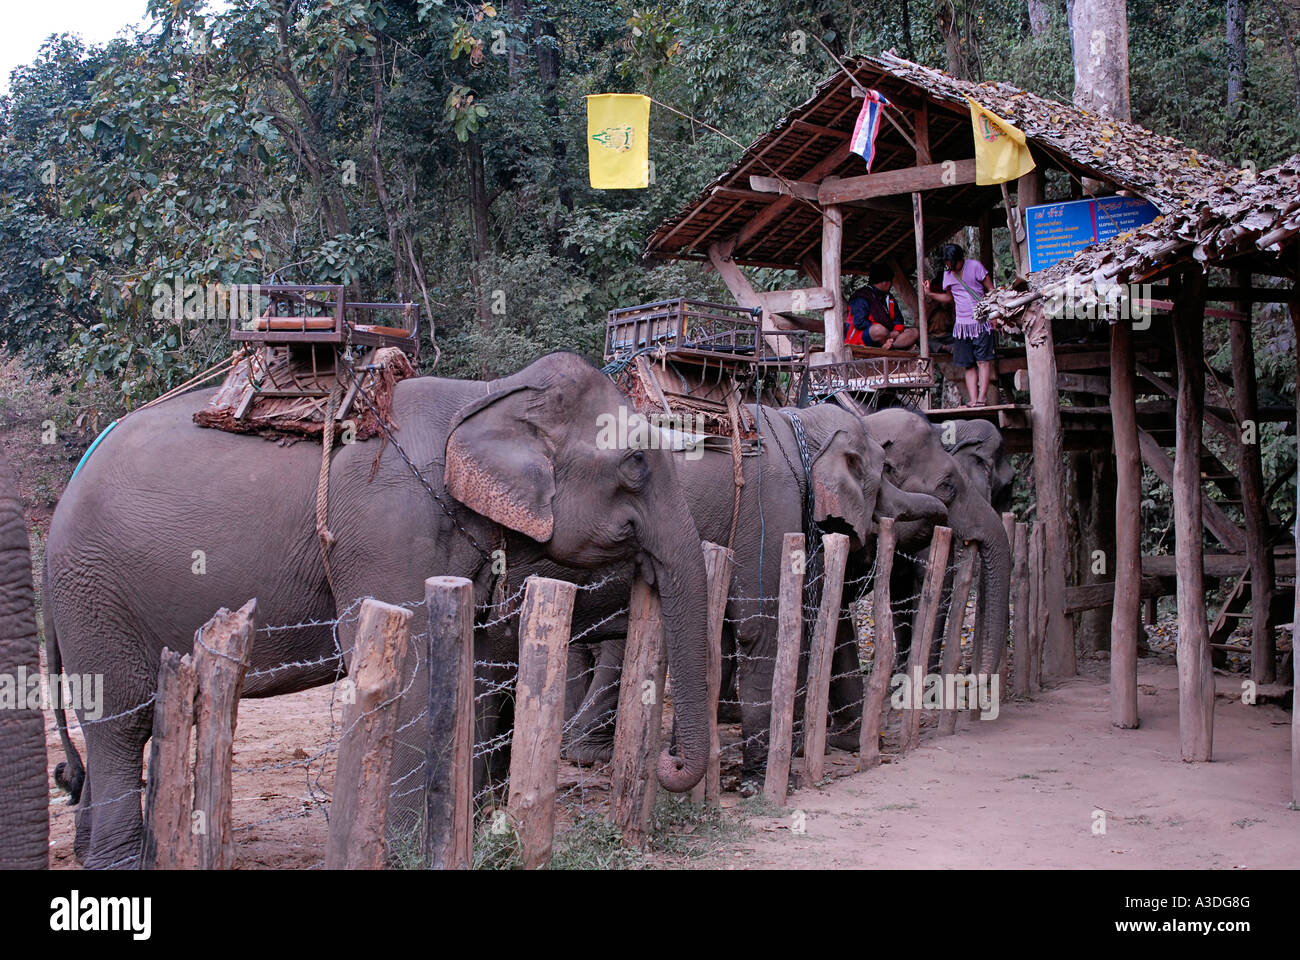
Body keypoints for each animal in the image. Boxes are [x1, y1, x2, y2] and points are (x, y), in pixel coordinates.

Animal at [43, 351, 713, 868]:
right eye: (635, 463)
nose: (671, 761)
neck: (487, 396)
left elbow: (473, 666)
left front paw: (469, 832)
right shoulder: (388, 530)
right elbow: (411, 670)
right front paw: (408, 850)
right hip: (94, 593)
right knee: (121, 717)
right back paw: (119, 863)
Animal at [549, 402, 948, 785]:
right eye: (884, 475)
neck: (799, 420)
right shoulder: (771, 510)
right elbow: (760, 627)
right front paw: (762, 779)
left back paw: (588, 754)